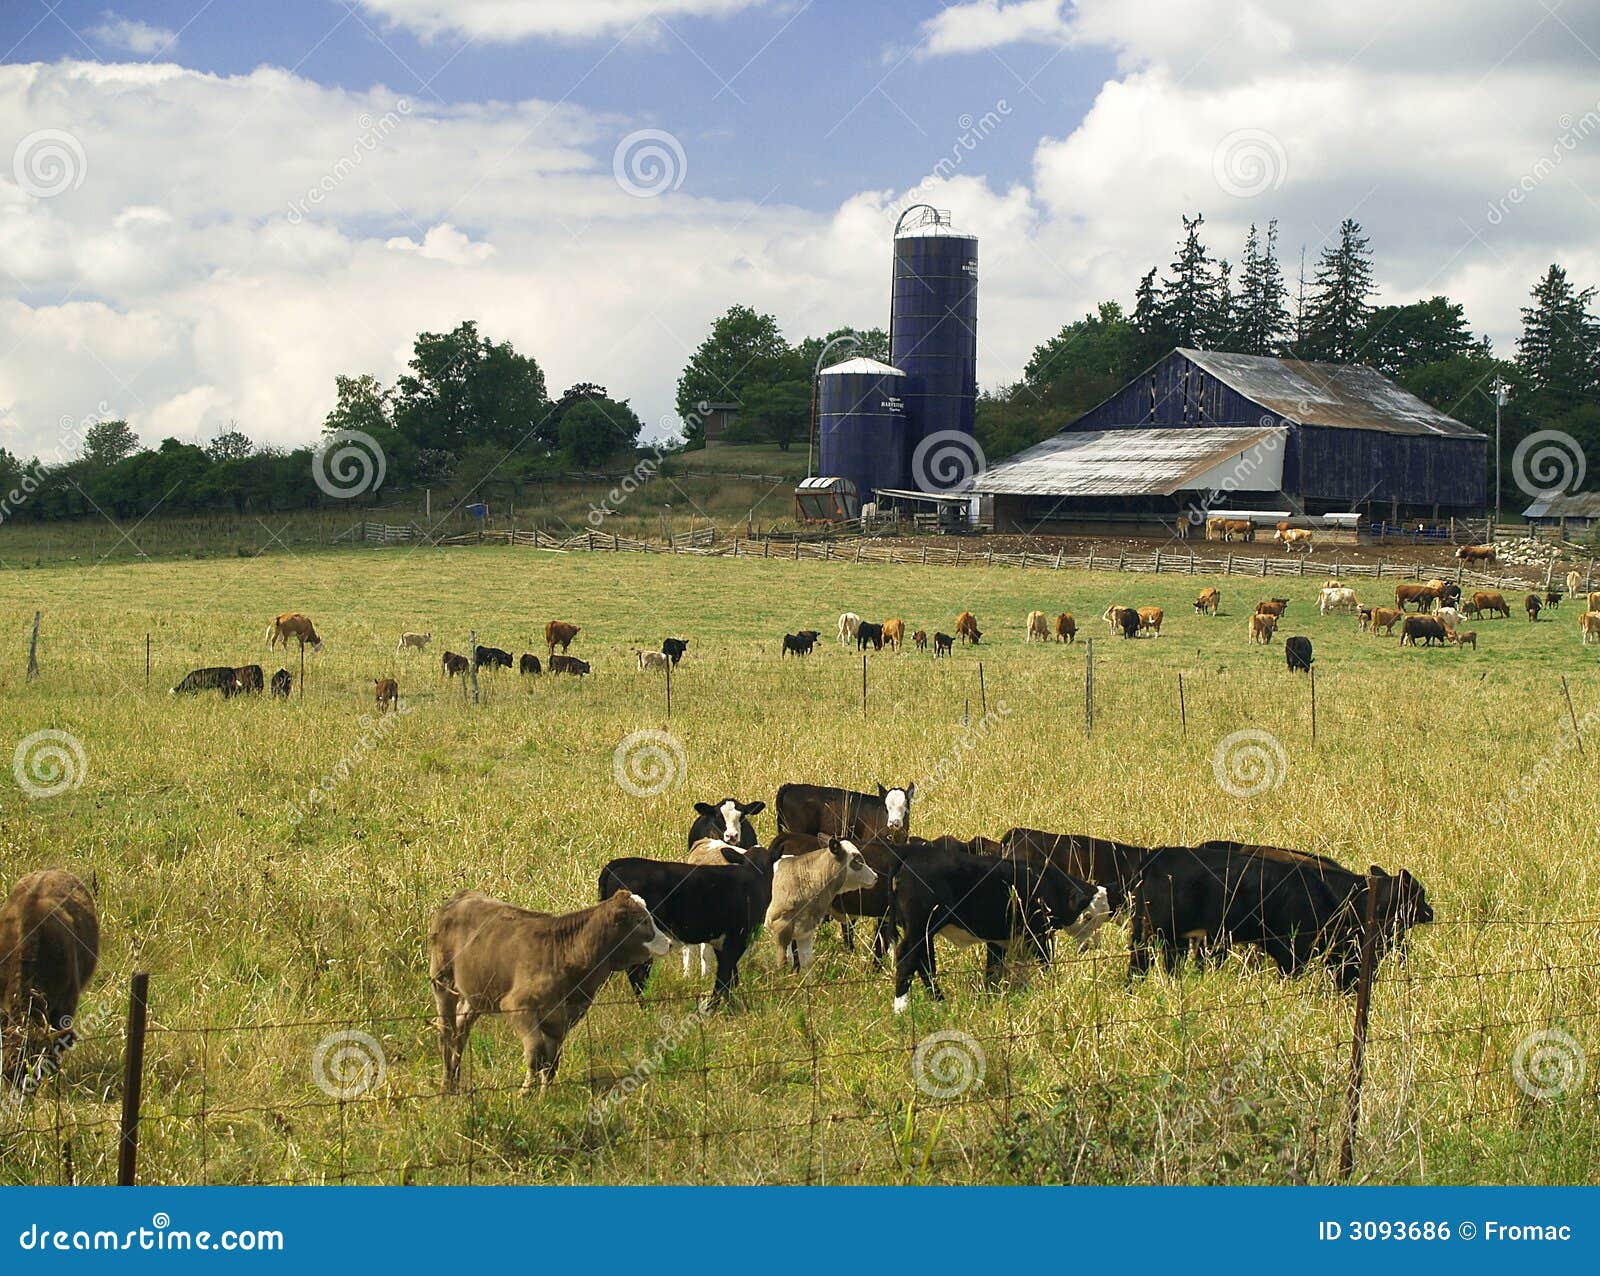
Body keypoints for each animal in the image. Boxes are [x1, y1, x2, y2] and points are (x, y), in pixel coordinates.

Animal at [429, 890, 668, 1093]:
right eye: (641, 921)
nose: (668, 942)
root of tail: (462, 896)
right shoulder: (517, 1006)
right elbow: (536, 1053)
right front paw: (525, 1093)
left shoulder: (561, 1019)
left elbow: (551, 1062)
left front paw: (544, 1096)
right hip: (442, 981)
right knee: (446, 1033)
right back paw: (446, 1086)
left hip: (475, 995)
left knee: (461, 1030)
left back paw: (454, 1083)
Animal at [599, 848, 782, 1006]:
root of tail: (618, 864)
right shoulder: (736, 939)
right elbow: (723, 979)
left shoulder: (721, 943)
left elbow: (731, 978)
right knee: (637, 974)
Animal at [891, 844, 1102, 1010]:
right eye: (1089, 917)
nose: (1094, 945)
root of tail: (910, 857)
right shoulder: (1037, 934)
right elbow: (1045, 962)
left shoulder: (998, 940)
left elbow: (992, 971)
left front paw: (990, 998)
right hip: (920, 926)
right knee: (907, 957)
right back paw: (901, 1008)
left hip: (924, 930)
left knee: (924, 962)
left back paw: (939, 1003)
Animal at [1129, 844, 1432, 991]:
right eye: (1418, 895)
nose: (1431, 911)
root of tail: (1157, 855)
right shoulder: (1294, 954)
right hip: (1162, 935)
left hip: (1162, 938)